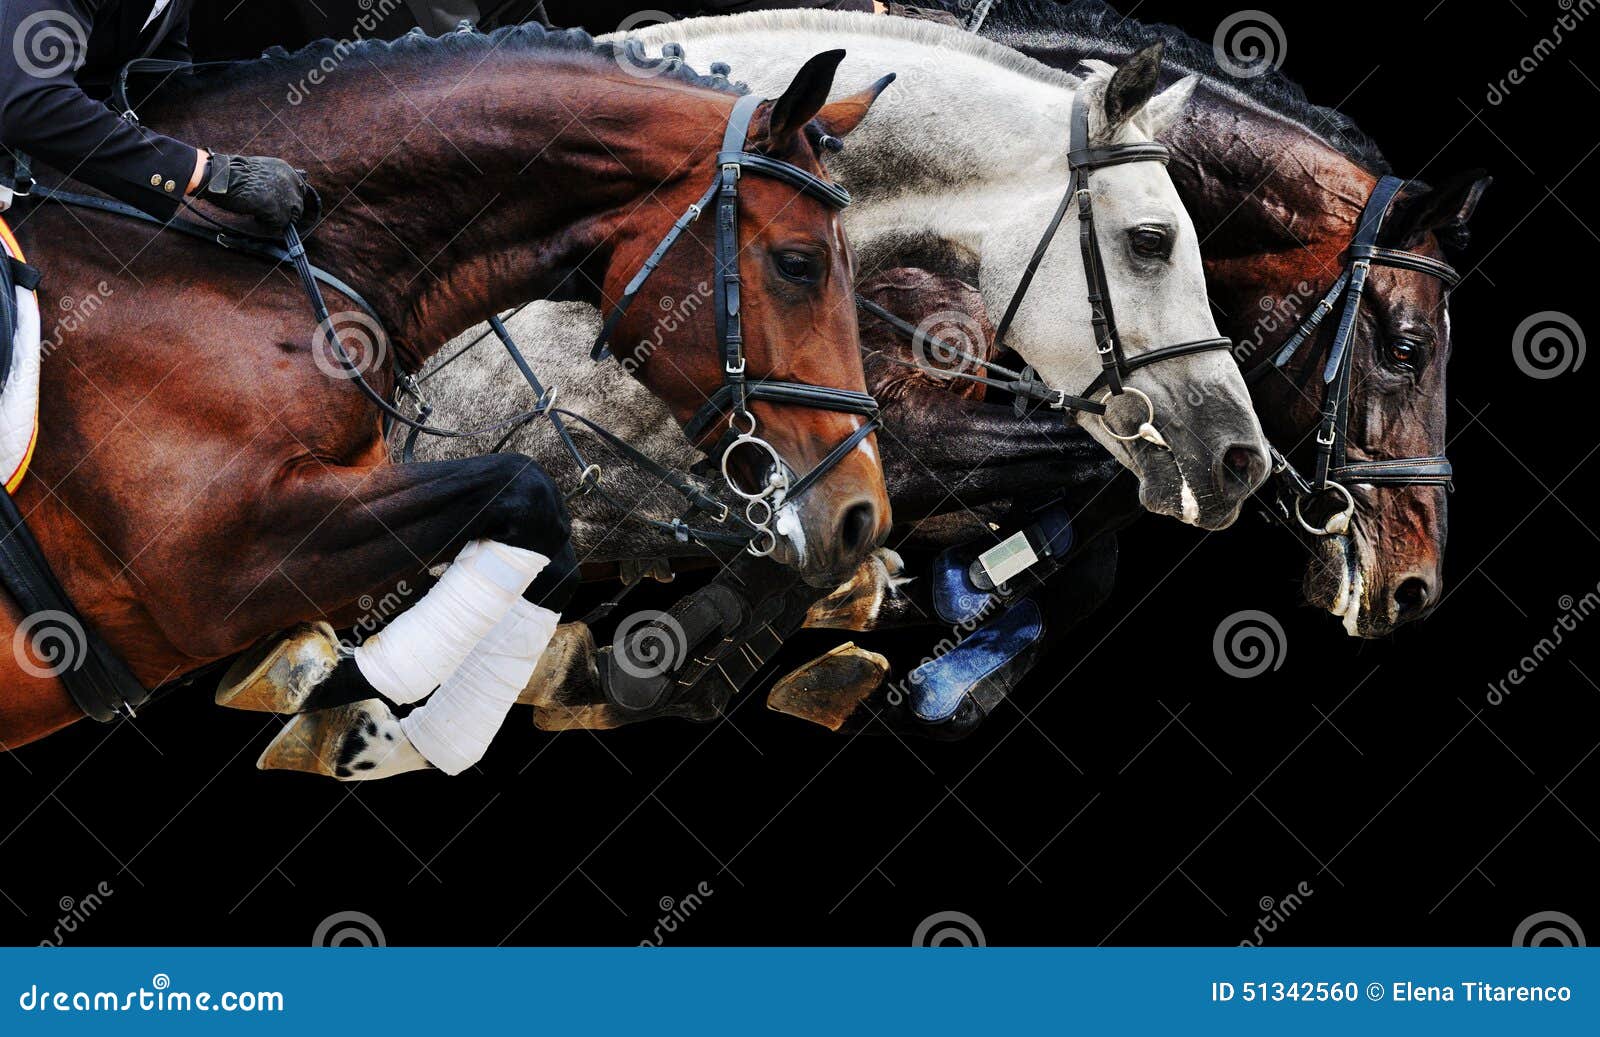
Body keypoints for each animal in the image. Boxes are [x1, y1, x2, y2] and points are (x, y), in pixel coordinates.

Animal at [0, 25, 895, 769]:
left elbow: (546, 551)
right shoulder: (213, 566)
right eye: (799, 264)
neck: (230, 258)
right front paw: (366, 705)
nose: (863, 517)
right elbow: (529, 490)